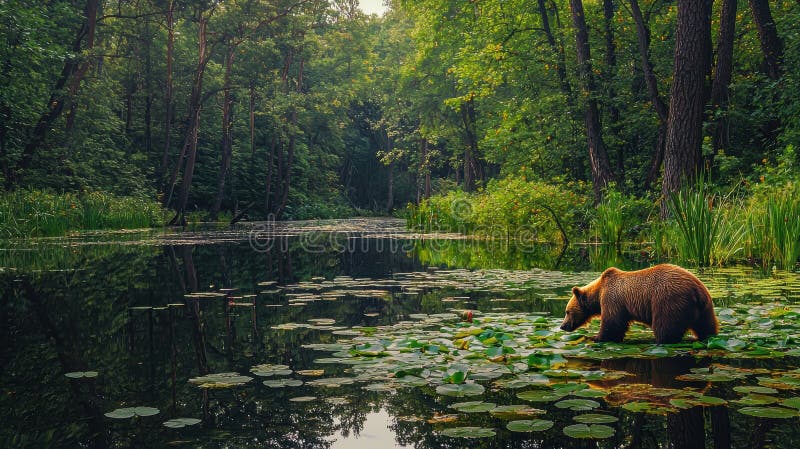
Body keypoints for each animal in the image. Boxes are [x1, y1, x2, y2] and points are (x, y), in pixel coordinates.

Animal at [559, 264, 718, 344]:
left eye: (567, 312)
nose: (562, 326)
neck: (598, 292)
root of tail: (697, 289)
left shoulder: (612, 300)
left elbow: (612, 323)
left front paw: (596, 337)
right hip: (705, 308)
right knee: (706, 326)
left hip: (668, 300)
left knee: (665, 326)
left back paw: (660, 340)